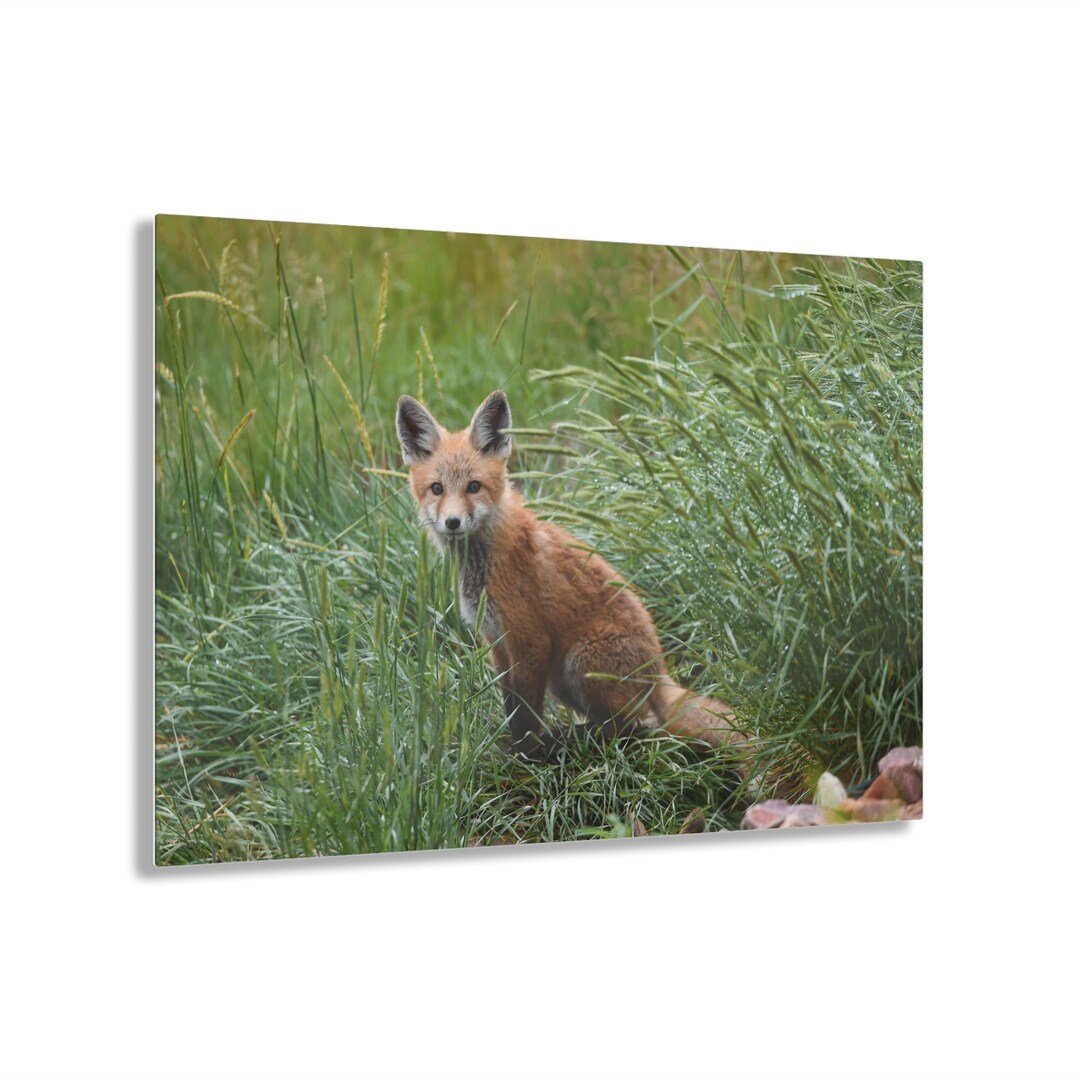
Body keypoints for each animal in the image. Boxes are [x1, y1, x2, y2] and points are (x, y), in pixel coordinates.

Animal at [396, 389, 745, 762]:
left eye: (474, 486)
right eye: (437, 488)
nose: (452, 522)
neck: (485, 561)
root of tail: (659, 674)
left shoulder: (530, 640)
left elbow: (525, 715)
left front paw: (524, 759)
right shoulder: (496, 642)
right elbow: (510, 704)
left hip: (578, 663)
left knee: (636, 729)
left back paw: (574, 739)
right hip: (562, 681)